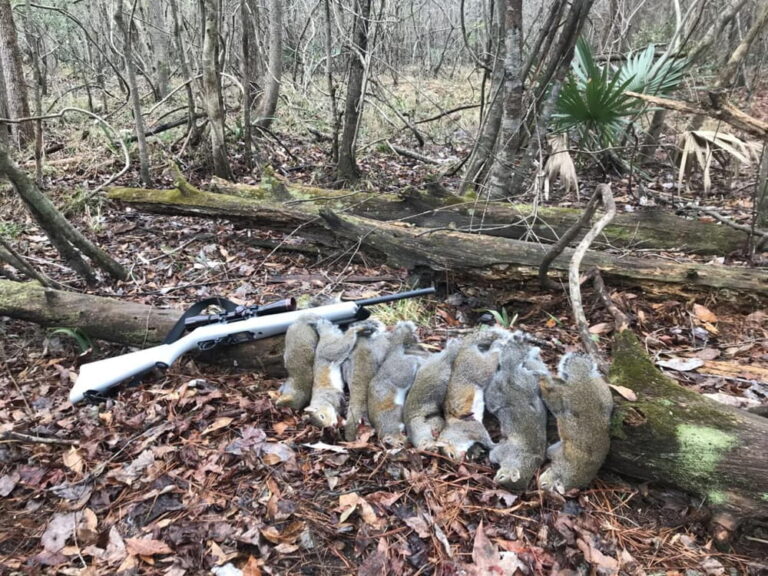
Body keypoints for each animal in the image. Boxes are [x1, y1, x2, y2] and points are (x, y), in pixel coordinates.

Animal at [486, 336, 549, 490]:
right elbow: (493, 453)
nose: (494, 481)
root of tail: (512, 373)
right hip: (499, 391)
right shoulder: (507, 451)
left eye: (502, 478)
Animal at [538, 352, 614, 493]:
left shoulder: (559, 456)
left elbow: (550, 451)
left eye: (545, 485)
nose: (538, 483)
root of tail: (581, 380)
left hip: (599, 394)